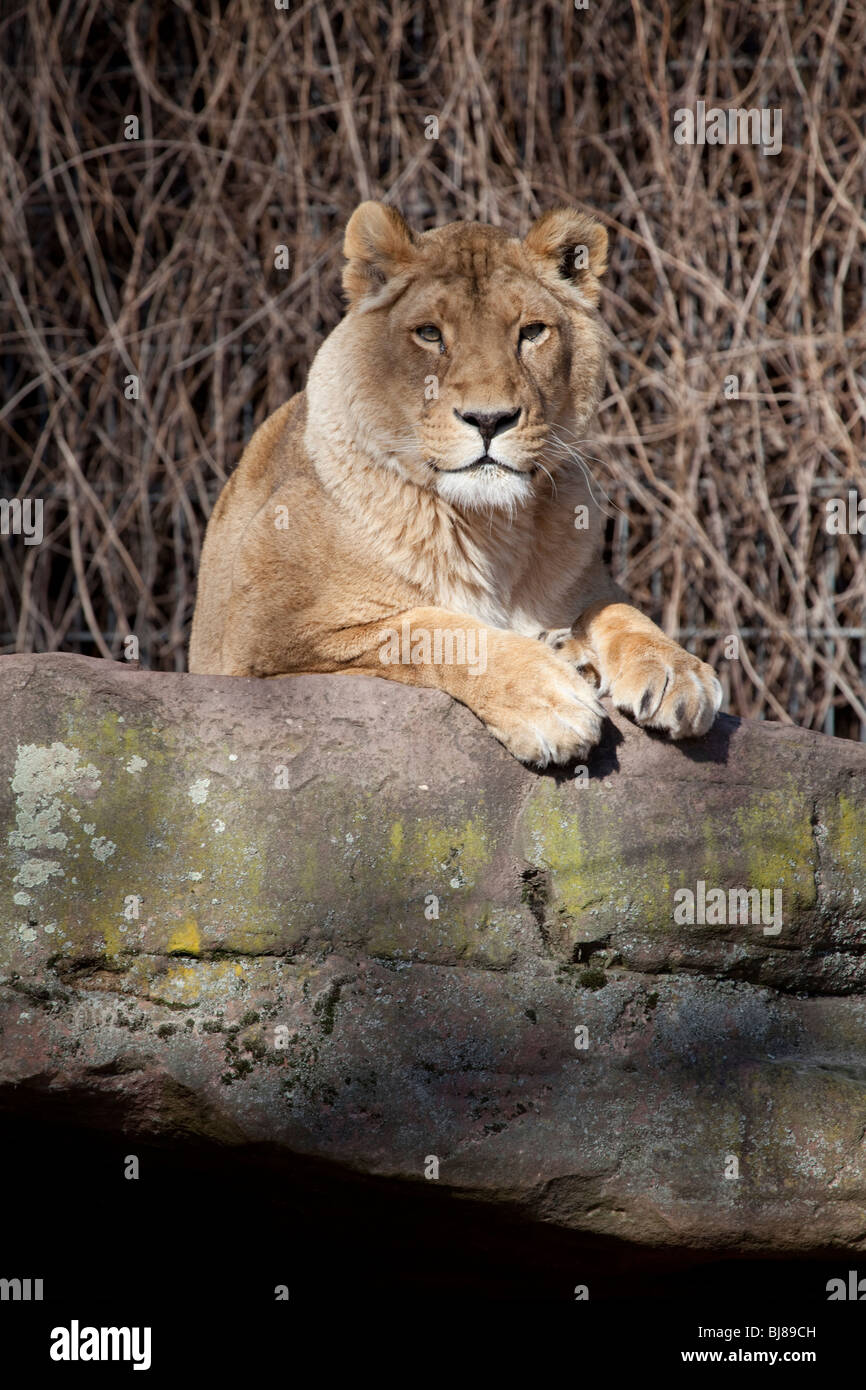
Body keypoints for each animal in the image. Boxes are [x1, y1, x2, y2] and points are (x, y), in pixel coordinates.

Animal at [188, 201, 722, 766]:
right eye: (429, 334)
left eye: (532, 332)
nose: (489, 420)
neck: (491, 527)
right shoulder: (260, 641)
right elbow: (429, 628)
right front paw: (548, 699)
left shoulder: (591, 584)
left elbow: (618, 607)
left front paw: (675, 669)